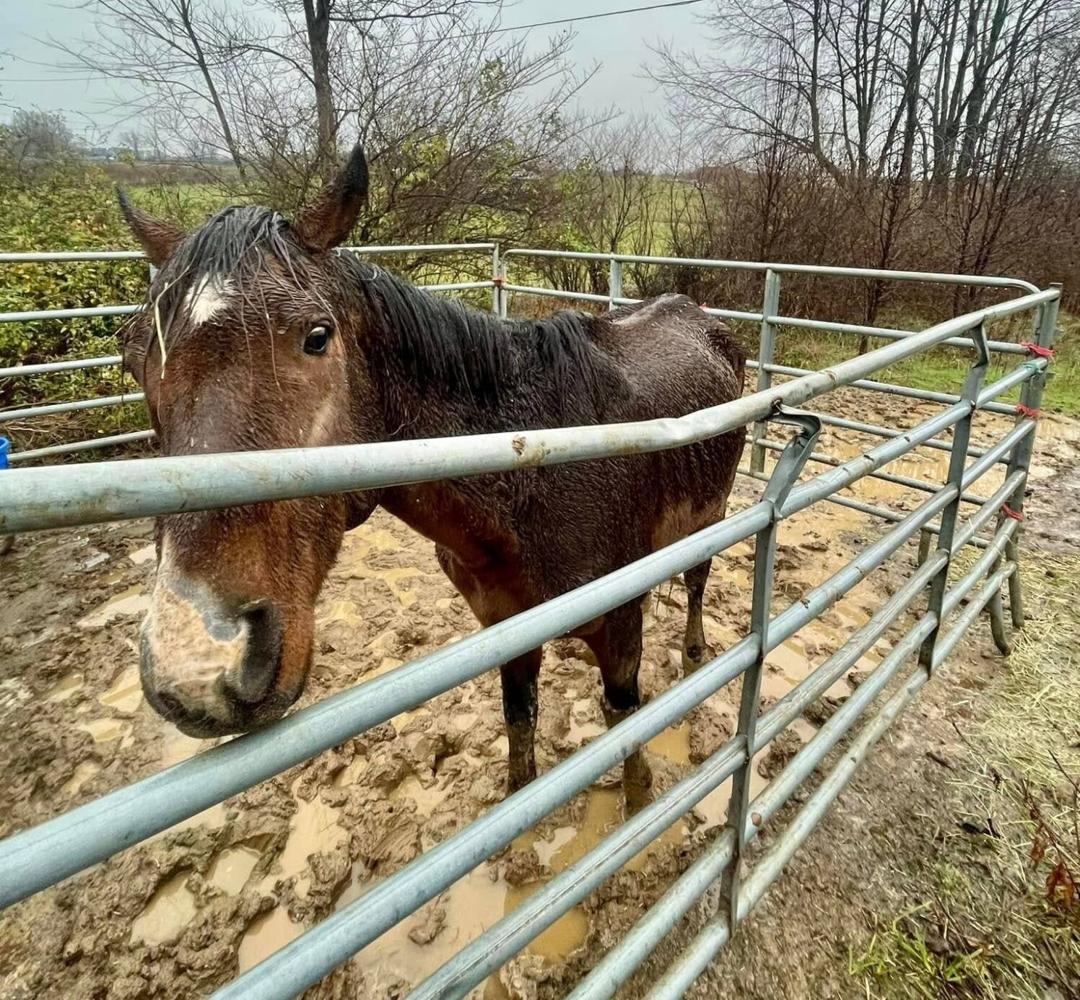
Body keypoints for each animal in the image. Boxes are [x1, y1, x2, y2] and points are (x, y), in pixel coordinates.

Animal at [118, 145, 745, 806]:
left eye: (317, 336)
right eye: (133, 360)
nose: (199, 664)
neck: (531, 475)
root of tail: (701, 317)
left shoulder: (622, 624)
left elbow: (626, 722)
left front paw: (641, 799)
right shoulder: (507, 626)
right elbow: (519, 717)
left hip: (711, 512)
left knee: (698, 579)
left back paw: (695, 649)